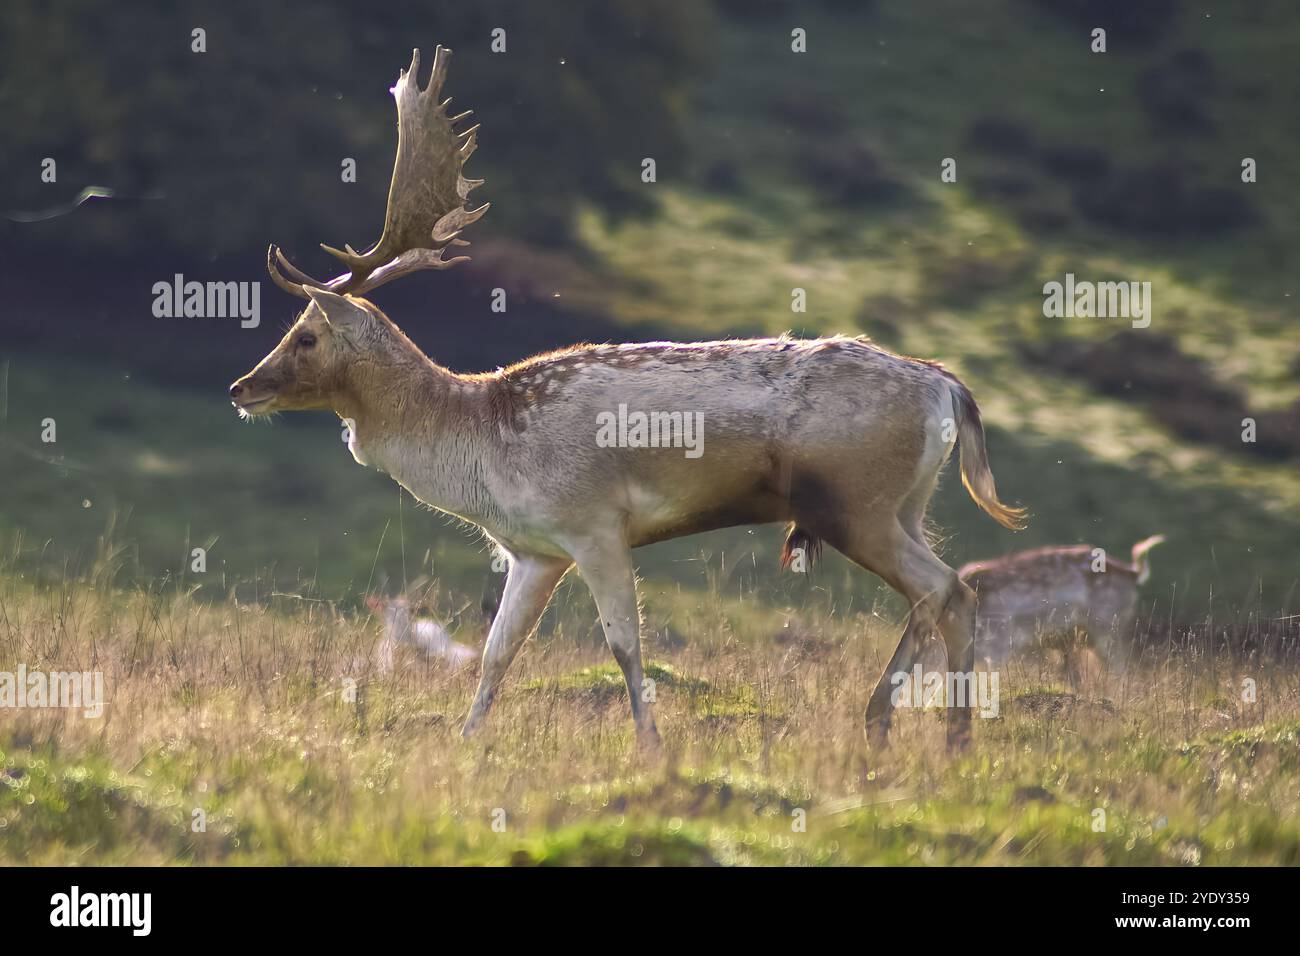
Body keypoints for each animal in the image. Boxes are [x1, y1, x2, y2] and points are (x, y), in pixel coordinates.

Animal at [228, 47, 1027, 753]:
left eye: (304, 334)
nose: (242, 386)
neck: (482, 447)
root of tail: (947, 387)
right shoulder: (534, 551)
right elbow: (497, 652)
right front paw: (463, 740)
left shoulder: (595, 523)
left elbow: (624, 646)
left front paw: (651, 746)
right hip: (907, 504)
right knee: (952, 594)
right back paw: (950, 738)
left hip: (856, 502)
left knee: (944, 589)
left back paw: (889, 722)